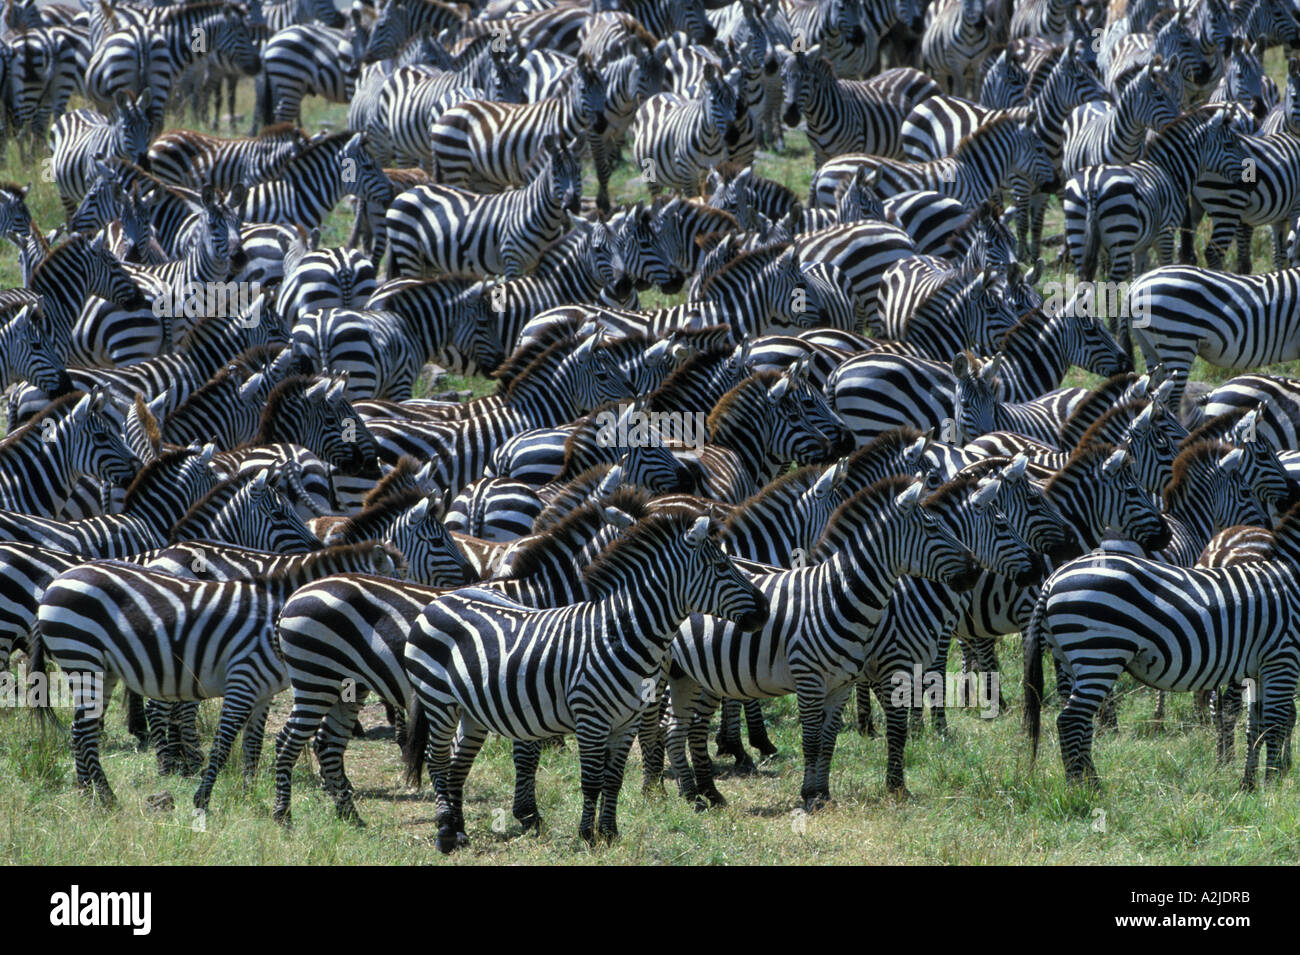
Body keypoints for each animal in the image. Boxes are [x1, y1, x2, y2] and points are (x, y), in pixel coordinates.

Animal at [384, 135, 582, 279]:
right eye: (555, 173)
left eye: (578, 171)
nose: (573, 204)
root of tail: (409, 191)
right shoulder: (512, 260)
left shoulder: (536, 263)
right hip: (408, 252)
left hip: (430, 262)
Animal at [401, 510, 768, 850]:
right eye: (721, 567)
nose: (765, 609)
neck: (620, 633)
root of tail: (442, 597)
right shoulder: (591, 718)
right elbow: (591, 781)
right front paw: (588, 836)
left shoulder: (626, 722)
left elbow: (613, 779)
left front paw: (610, 832)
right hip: (439, 700)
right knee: (437, 760)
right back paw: (445, 833)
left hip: (473, 710)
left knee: (458, 763)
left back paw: (459, 830)